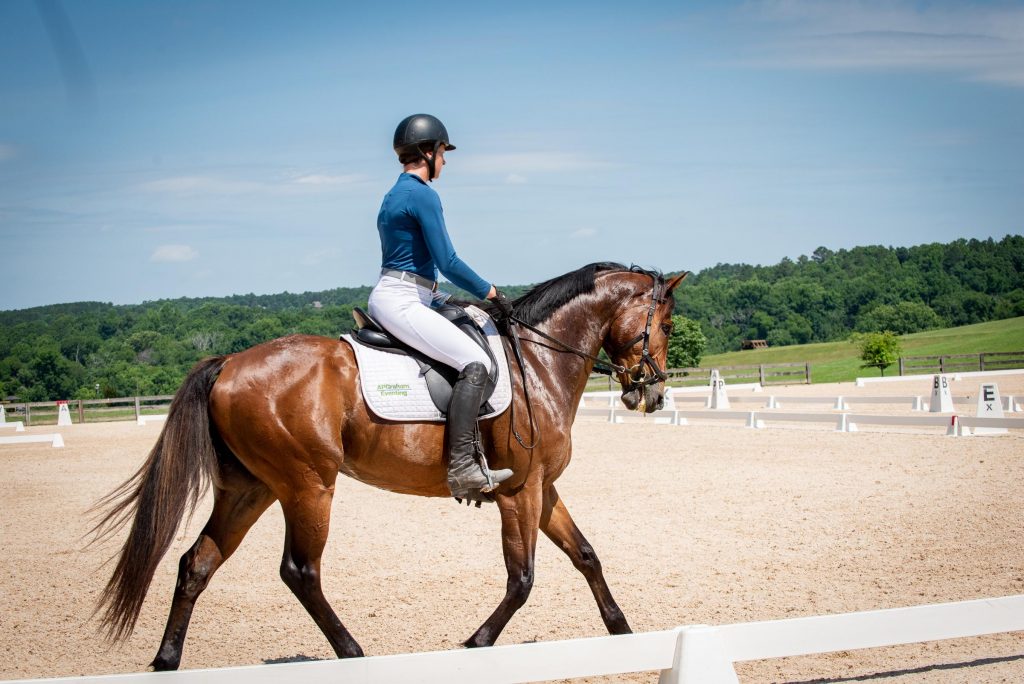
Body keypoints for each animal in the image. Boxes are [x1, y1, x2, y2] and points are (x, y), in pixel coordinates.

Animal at [92, 262, 687, 670]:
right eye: (666, 325)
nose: (654, 393)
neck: (539, 364)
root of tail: (230, 363)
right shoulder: (520, 493)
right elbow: (522, 579)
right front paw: (476, 643)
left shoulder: (540, 488)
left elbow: (586, 556)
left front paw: (624, 634)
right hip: (308, 486)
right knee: (299, 570)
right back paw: (353, 653)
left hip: (252, 488)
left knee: (198, 563)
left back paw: (167, 661)